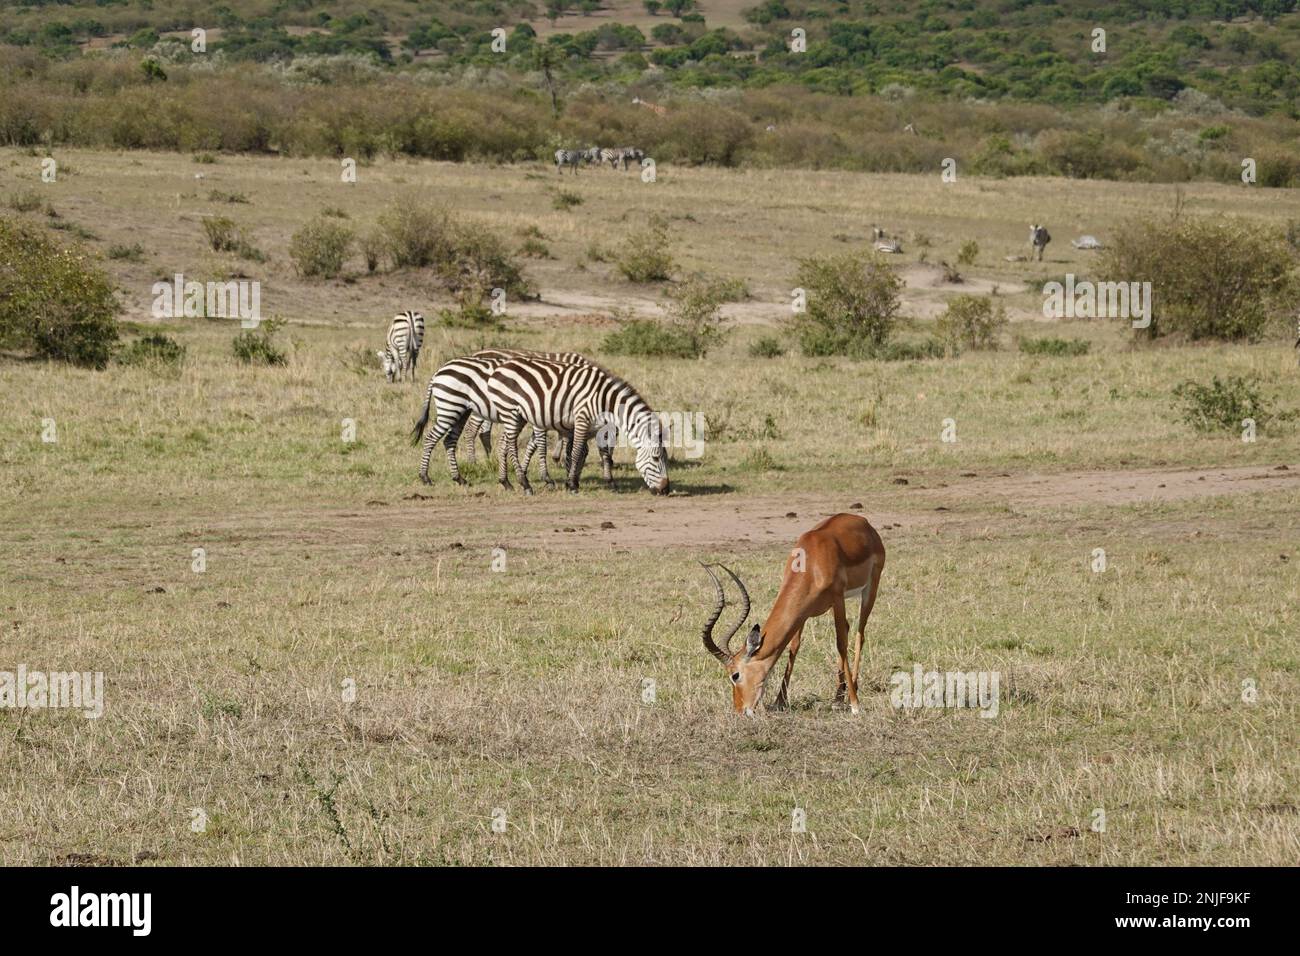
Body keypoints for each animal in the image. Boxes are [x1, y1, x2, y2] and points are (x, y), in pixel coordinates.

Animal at [411, 356, 561, 489]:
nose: (557, 459)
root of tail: (438, 371)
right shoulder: (538, 415)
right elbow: (540, 444)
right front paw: (544, 478)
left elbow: (532, 445)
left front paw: (524, 473)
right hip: (450, 407)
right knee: (431, 438)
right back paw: (425, 477)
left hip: (461, 411)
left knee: (449, 440)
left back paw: (459, 478)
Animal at [486, 358, 670, 495]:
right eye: (656, 458)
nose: (666, 490)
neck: (605, 401)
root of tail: (501, 367)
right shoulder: (582, 419)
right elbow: (575, 453)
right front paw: (573, 485)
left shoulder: (600, 427)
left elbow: (604, 455)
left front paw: (610, 482)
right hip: (510, 412)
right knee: (512, 446)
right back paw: (525, 484)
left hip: (519, 417)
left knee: (504, 444)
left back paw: (506, 482)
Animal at [699, 513, 885, 716]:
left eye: (735, 675)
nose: (740, 710)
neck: (812, 563)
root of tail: (862, 521)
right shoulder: (802, 613)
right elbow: (793, 647)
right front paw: (779, 701)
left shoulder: (837, 598)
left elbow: (841, 644)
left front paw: (855, 705)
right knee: (848, 627)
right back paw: (838, 697)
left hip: (869, 589)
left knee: (859, 635)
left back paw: (851, 692)